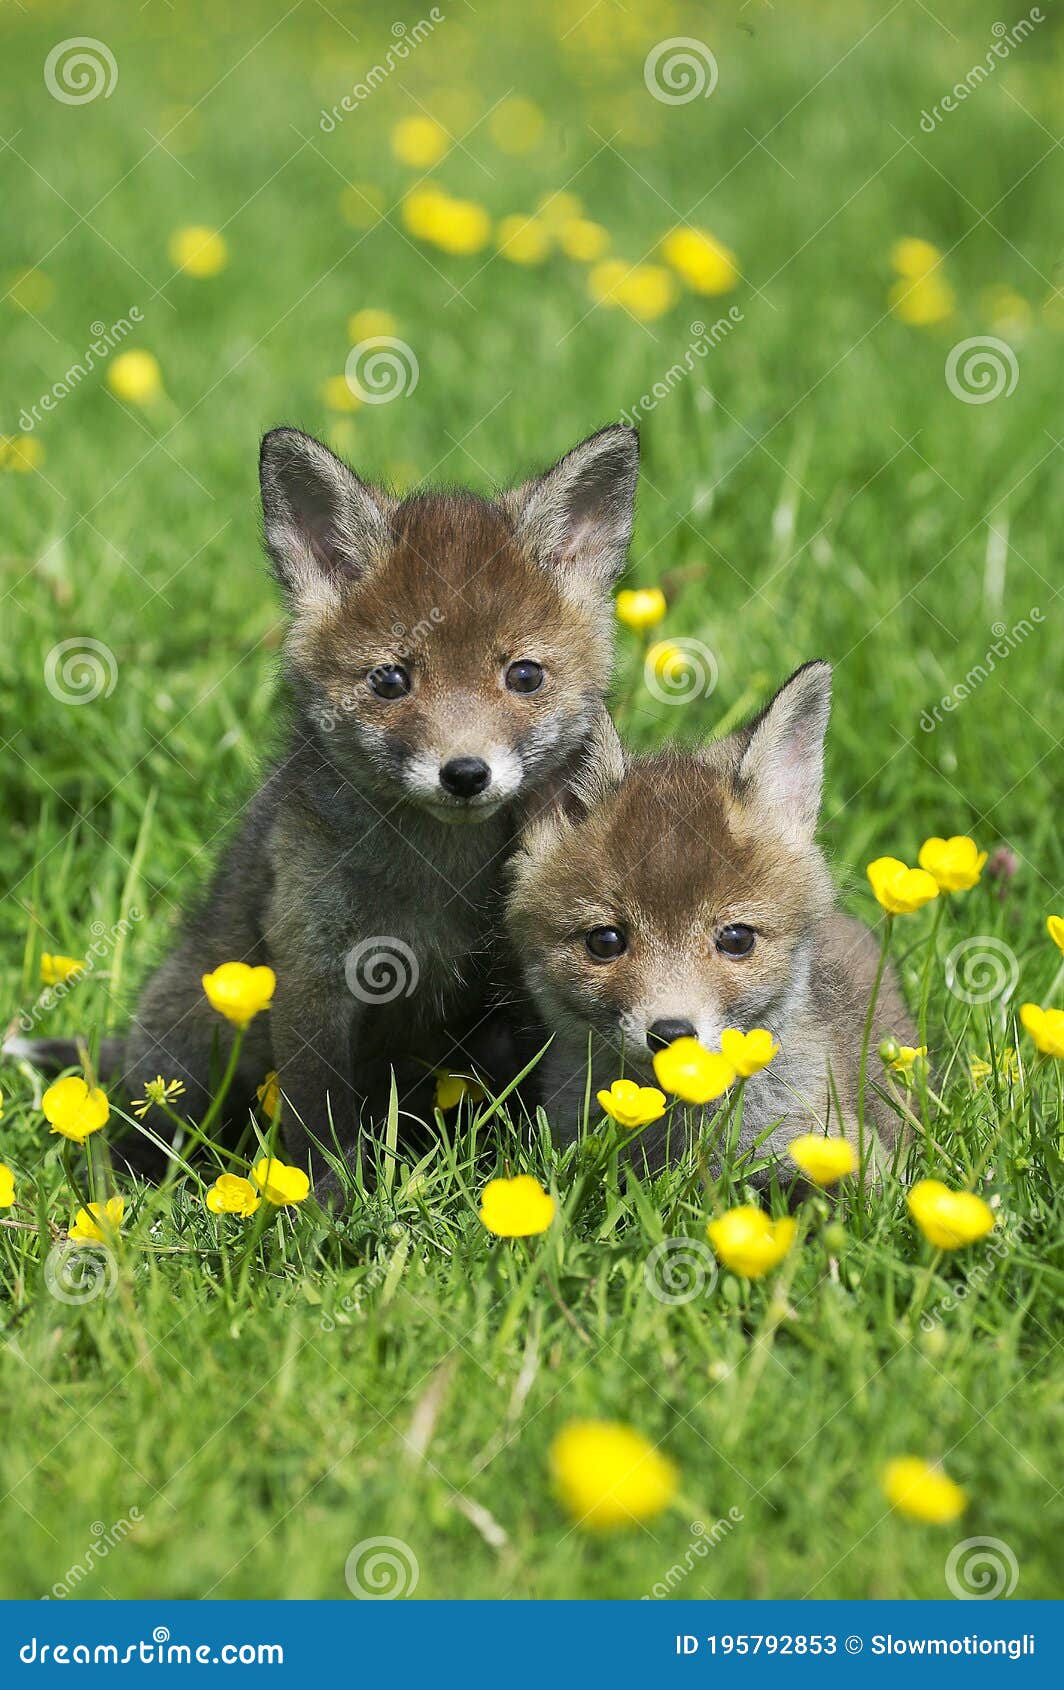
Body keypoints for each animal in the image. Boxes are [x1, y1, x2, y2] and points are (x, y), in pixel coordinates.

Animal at [14, 423, 640, 1176]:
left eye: (524, 676)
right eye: (390, 680)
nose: (465, 774)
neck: (438, 880)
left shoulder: (520, 980)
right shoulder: (313, 973)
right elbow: (318, 1133)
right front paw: (322, 1206)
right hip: (190, 1049)